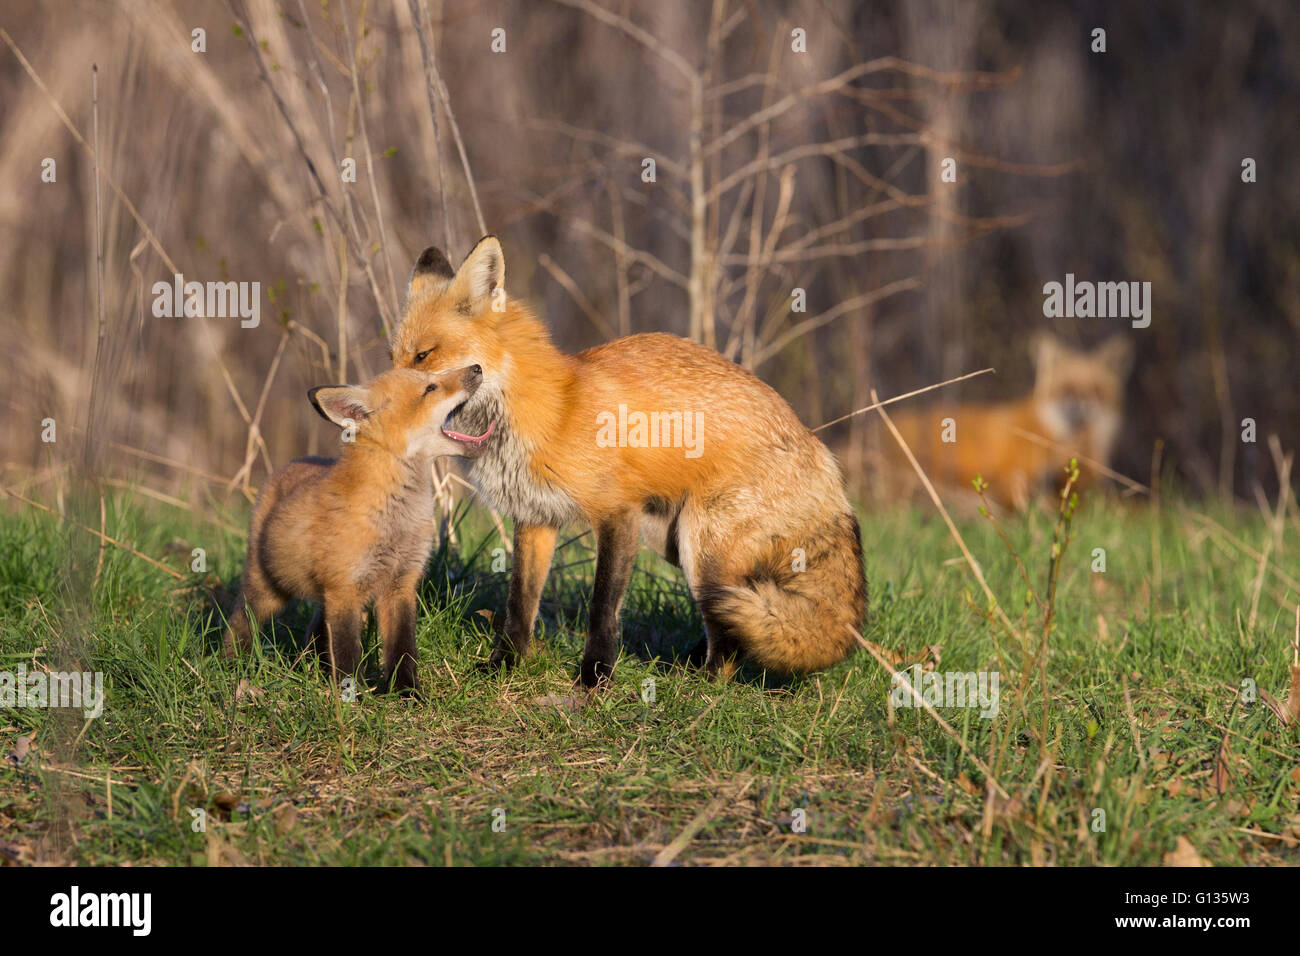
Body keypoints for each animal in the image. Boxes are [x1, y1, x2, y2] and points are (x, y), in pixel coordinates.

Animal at [221, 364, 489, 693]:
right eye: (430, 388)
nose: (477, 367)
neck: (395, 520)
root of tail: (292, 462)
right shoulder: (344, 591)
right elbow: (348, 651)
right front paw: (353, 696)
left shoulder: (401, 584)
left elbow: (402, 647)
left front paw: (407, 693)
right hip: (268, 588)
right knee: (240, 623)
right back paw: (233, 665)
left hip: (321, 597)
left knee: (317, 633)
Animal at [389, 236, 867, 686]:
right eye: (395, 358)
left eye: (424, 355)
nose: (386, 404)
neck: (544, 409)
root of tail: (824, 459)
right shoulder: (536, 518)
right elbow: (519, 604)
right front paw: (504, 665)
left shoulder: (618, 513)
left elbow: (602, 608)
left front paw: (595, 677)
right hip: (671, 542)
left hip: (703, 551)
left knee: (729, 643)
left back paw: (702, 686)